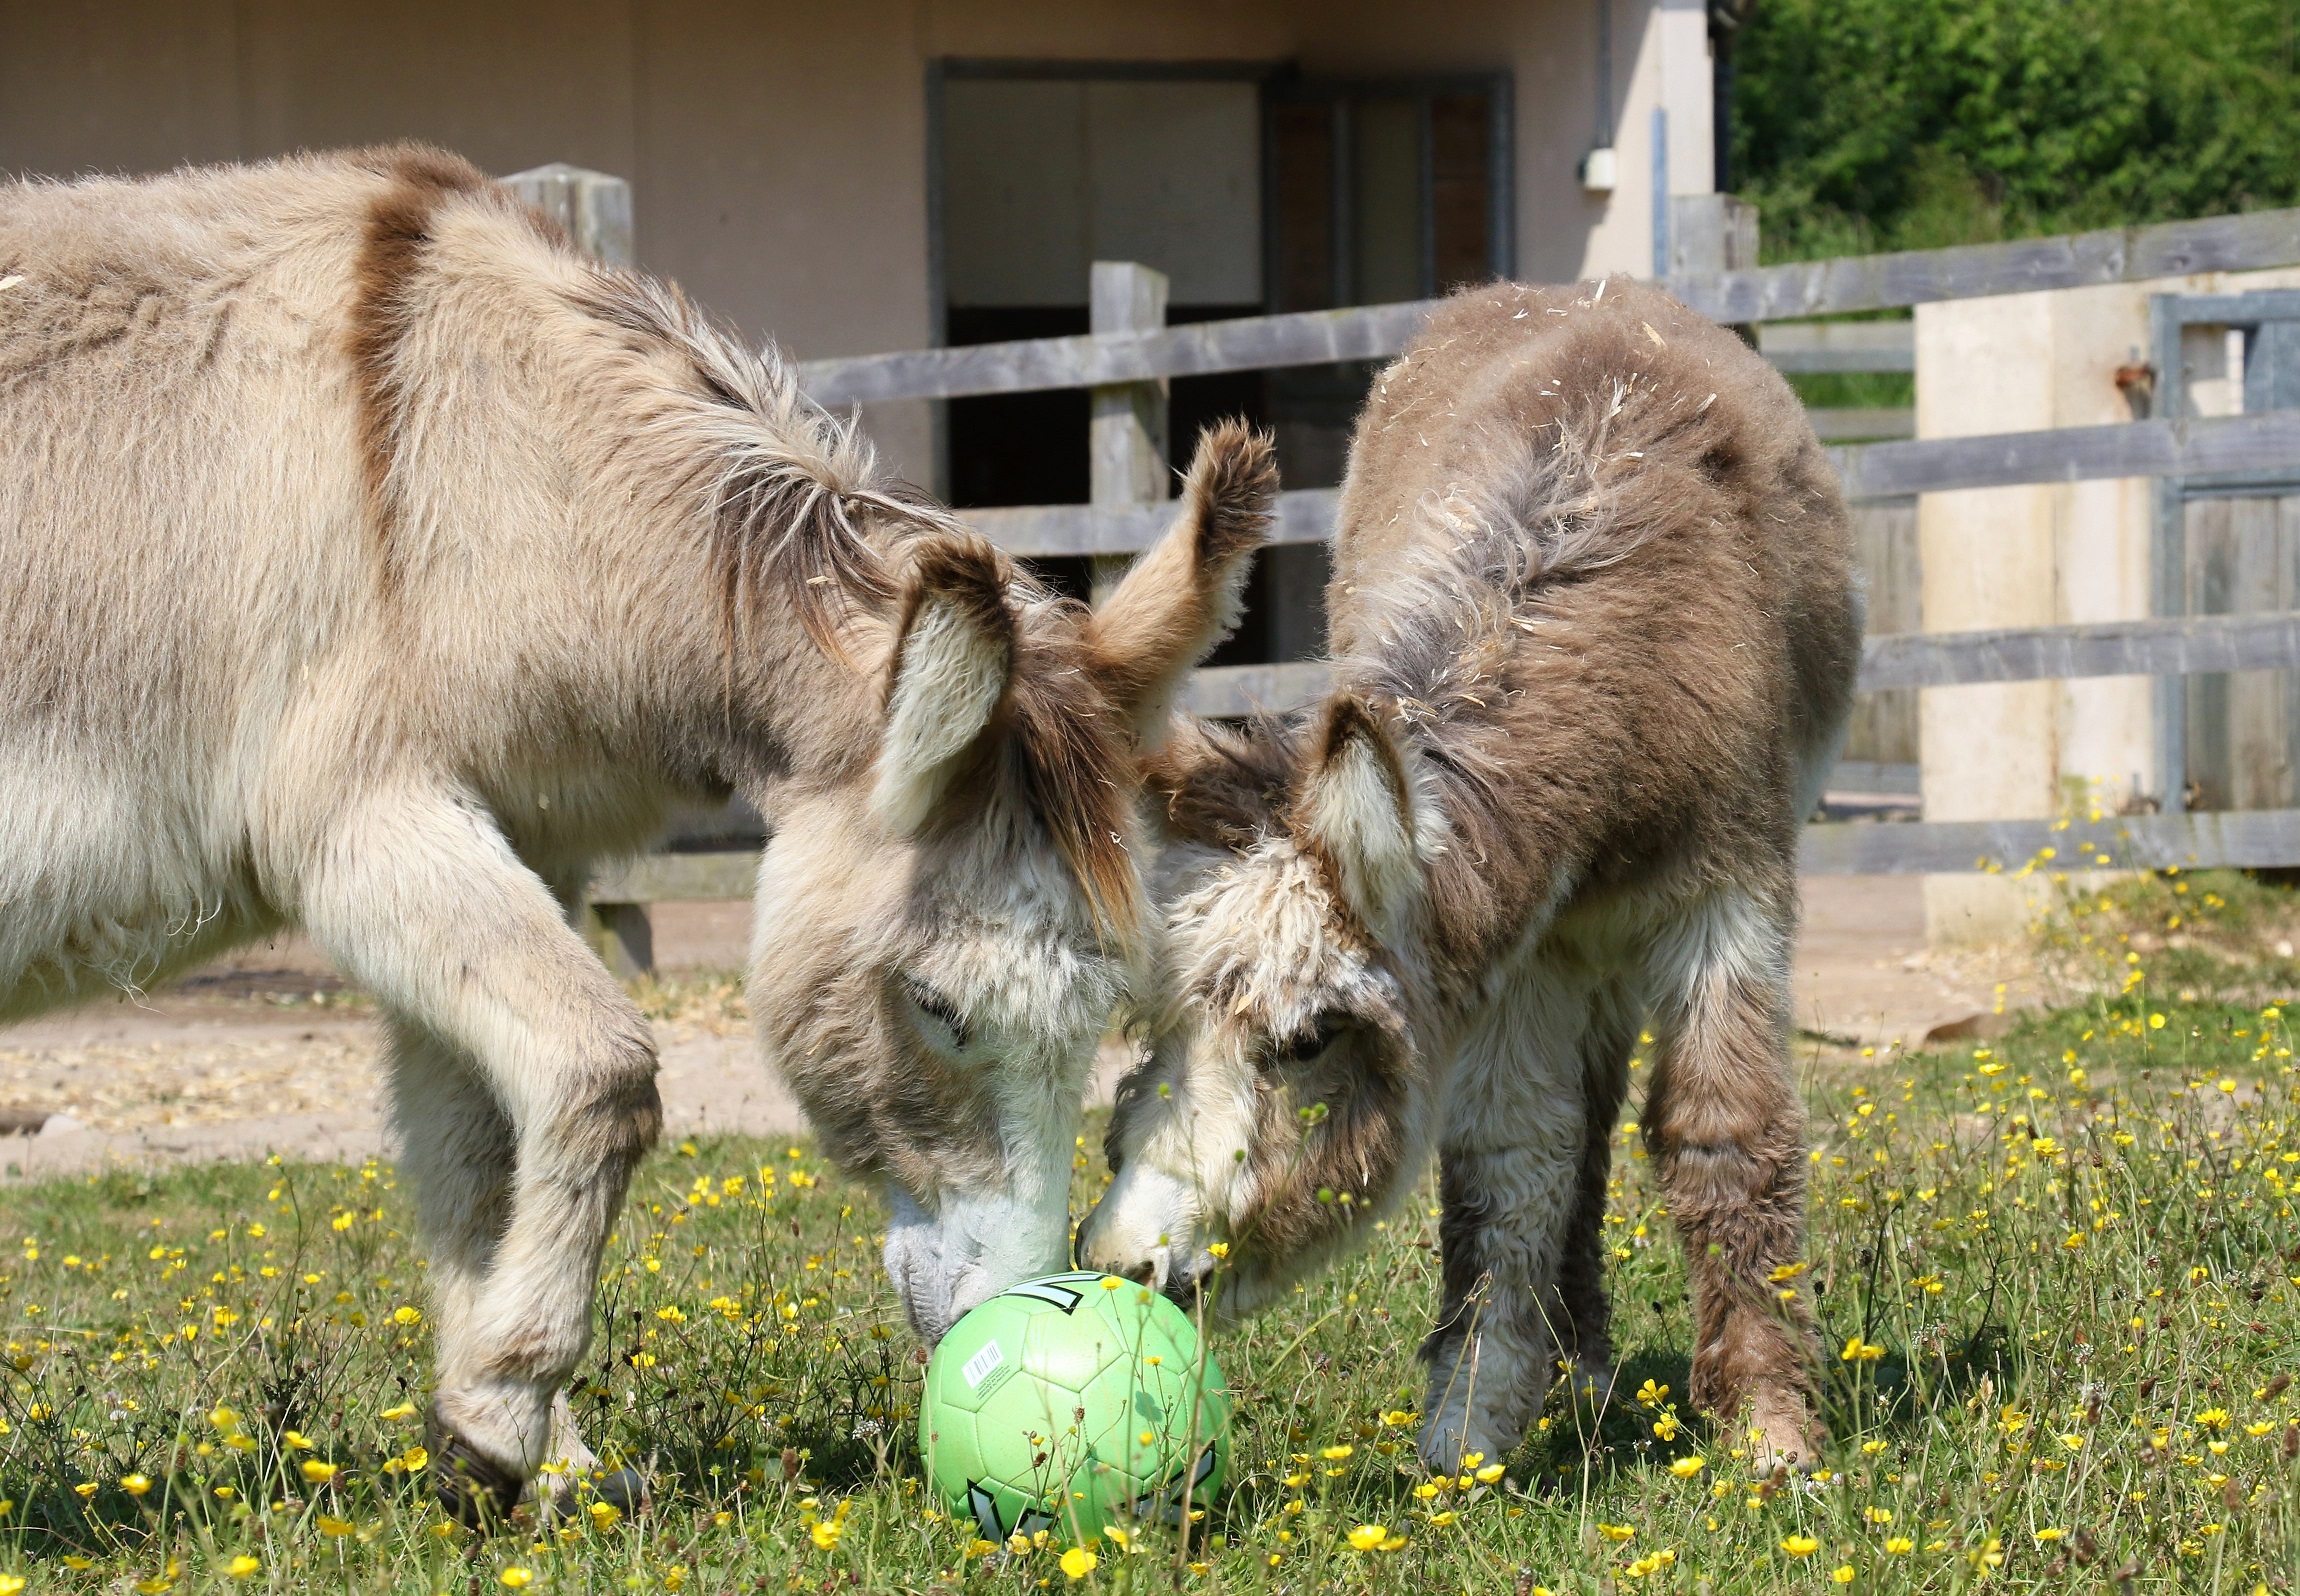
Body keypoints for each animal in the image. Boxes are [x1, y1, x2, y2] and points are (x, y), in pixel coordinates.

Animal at [0, 144, 1276, 1519]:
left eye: (1105, 1015)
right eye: (935, 1007)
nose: (1024, 1318)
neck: (460, 464)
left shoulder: (506, 837)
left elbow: (482, 1154)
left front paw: (524, 1461)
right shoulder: (362, 827)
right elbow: (600, 1070)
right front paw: (505, 1412)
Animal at [1080, 279, 1862, 1475]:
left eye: (1306, 1041)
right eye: (1154, 1026)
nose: (1124, 1264)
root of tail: (1573, 291)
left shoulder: (1724, 887)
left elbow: (1723, 1131)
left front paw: (1771, 1435)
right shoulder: (1513, 944)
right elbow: (1511, 1163)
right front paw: (1471, 1432)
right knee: (1580, 1123)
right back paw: (1576, 1365)